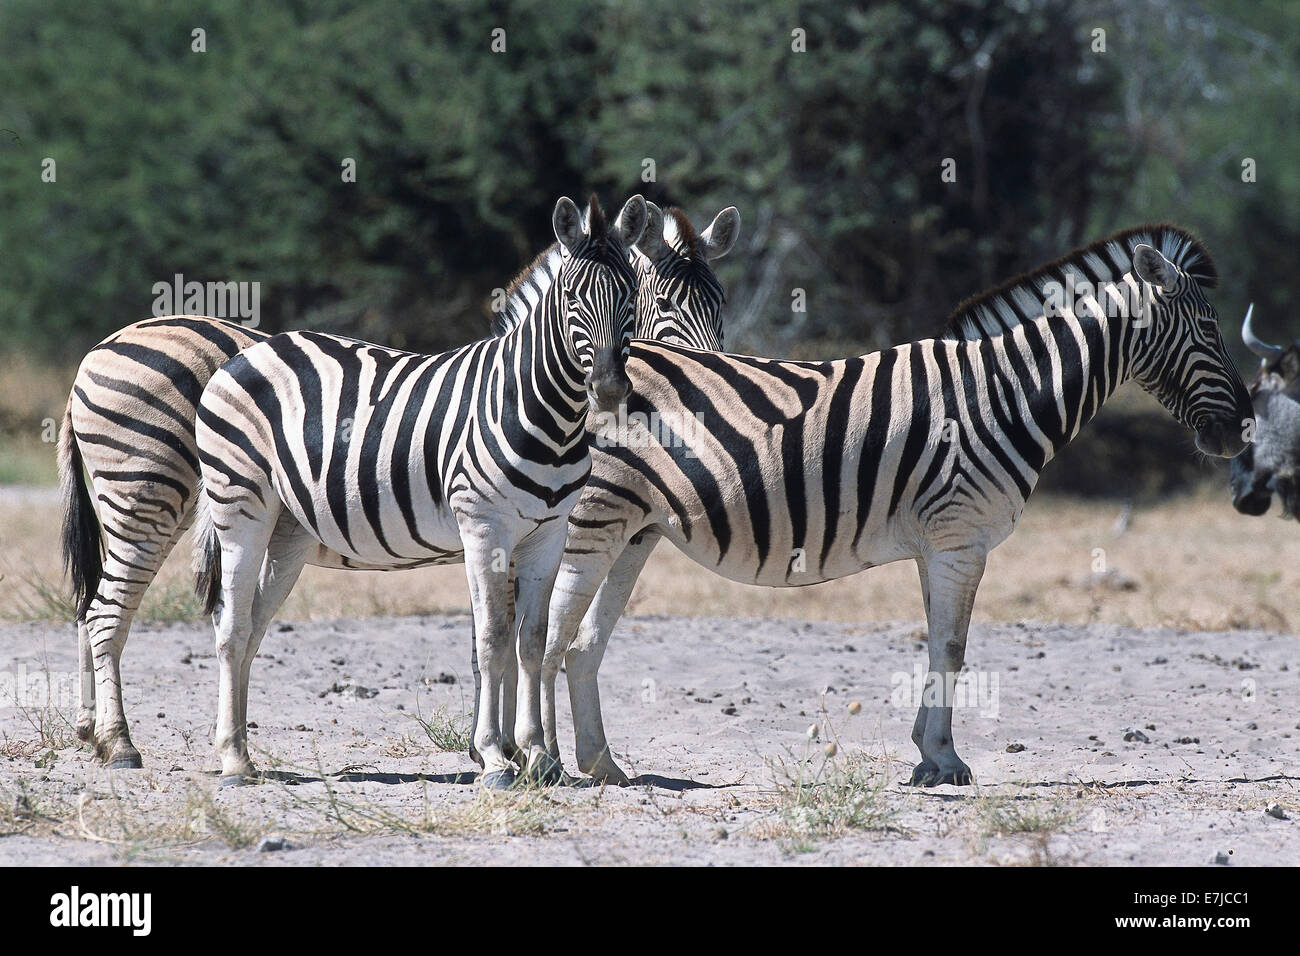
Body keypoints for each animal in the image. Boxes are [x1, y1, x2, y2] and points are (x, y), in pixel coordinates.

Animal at [58, 196, 735, 772]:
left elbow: (529, 641)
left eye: (715, 307)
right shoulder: (493, 525)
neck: (543, 410)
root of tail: (100, 347)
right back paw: (123, 744)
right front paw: (500, 756)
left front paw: (528, 756)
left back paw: (117, 736)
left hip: (267, 525)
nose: (614, 392)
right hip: (157, 494)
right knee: (109, 613)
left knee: (150, 616)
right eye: (661, 305)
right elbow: (497, 639)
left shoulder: (543, 533)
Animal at [537, 224, 1254, 787]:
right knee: (543, 635)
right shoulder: (961, 537)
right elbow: (954, 646)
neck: (1005, 394)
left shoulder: (938, 543)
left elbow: (939, 643)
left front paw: (927, 754)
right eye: (1210, 328)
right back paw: (541, 764)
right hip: (589, 520)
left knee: (581, 644)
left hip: (634, 530)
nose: (1242, 431)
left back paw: (601, 766)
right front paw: (944, 760)